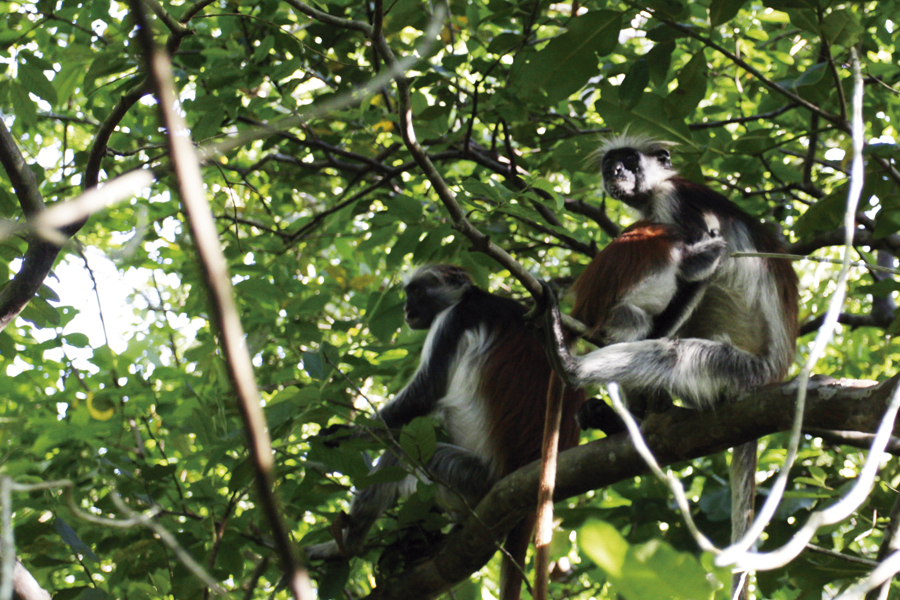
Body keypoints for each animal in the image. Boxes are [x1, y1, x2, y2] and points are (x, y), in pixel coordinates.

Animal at [305, 264, 585, 600]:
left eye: (416, 292)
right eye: (407, 295)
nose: (406, 309)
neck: (471, 297)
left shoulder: (452, 321)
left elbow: (422, 397)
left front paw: (341, 435)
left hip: (470, 479)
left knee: (402, 450)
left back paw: (346, 546)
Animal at [540, 135, 798, 600]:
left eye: (628, 161)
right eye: (610, 164)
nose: (616, 173)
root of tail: (776, 373)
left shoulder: (675, 204)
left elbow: (701, 268)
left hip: (739, 368)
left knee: (671, 352)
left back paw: (573, 367)